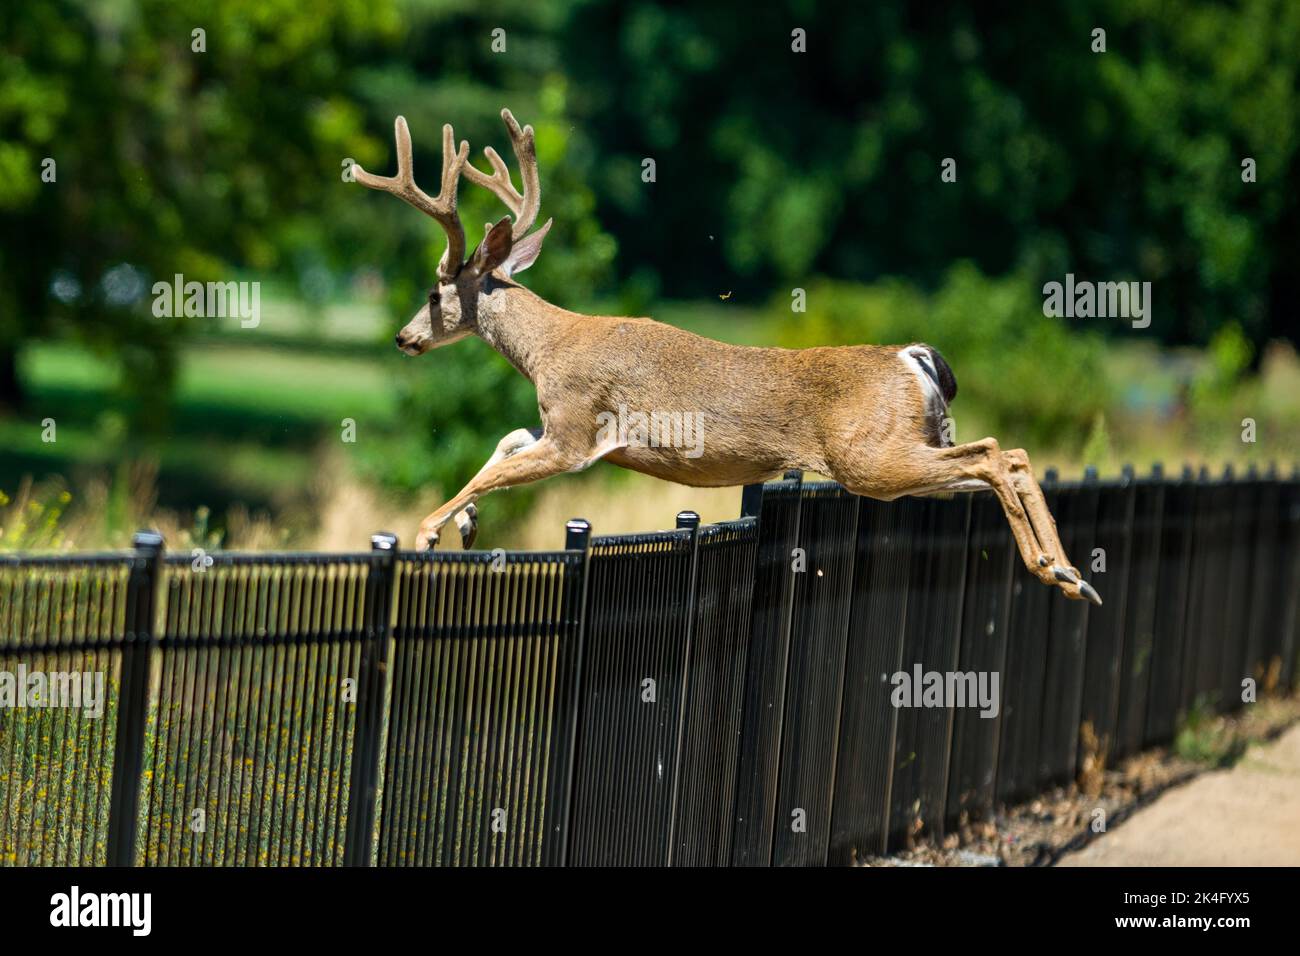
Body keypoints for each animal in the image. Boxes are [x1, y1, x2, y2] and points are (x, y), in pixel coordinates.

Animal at [351, 109, 1101, 605]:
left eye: (433, 290)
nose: (403, 338)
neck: (547, 348)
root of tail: (914, 357)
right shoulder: (562, 425)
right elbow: (506, 439)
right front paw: (467, 525)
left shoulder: (576, 428)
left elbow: (500, 463)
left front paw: (428, 531)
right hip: (914, 447)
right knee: (1009, 455)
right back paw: (1070, 574)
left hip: (869, 455)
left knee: (996, 453)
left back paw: (1058, 574)